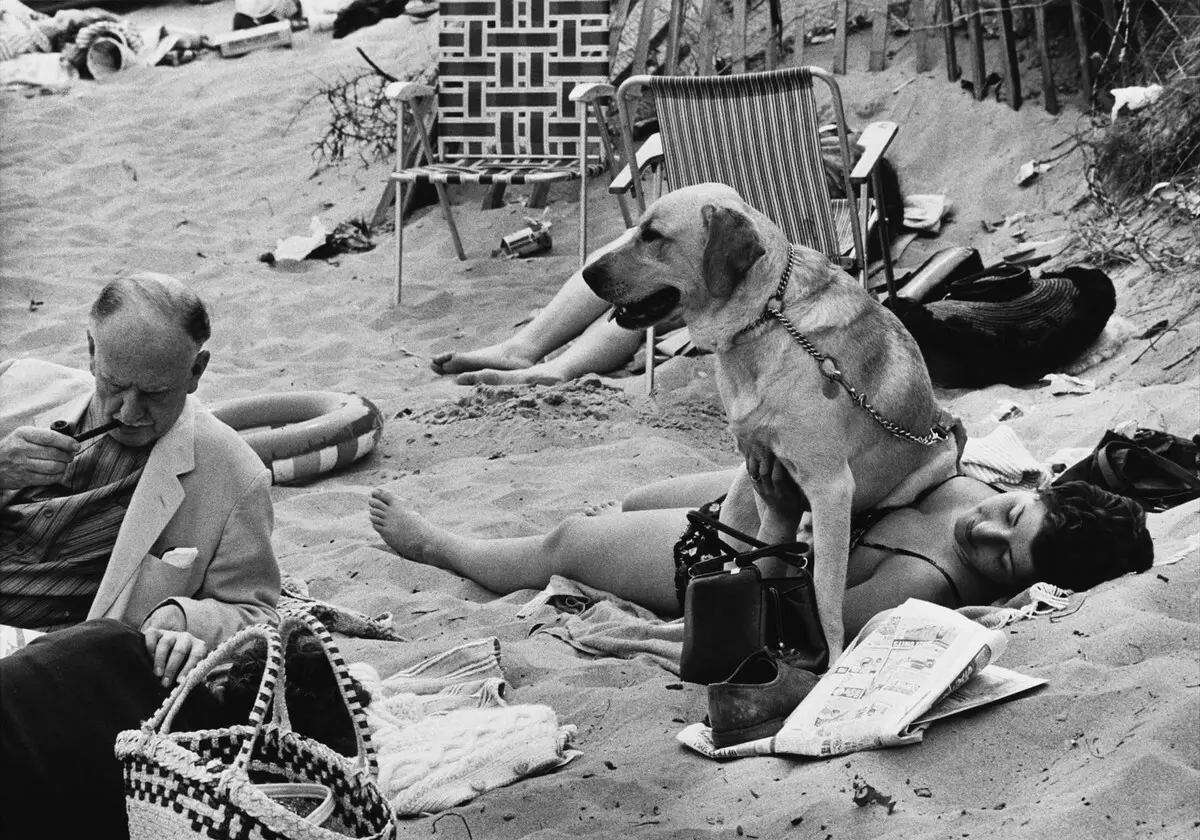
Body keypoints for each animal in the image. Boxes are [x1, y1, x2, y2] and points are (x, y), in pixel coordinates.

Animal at [580, 182, 955, 662]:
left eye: (652, 235)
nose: (586, 274)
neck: (766, 317)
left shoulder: (830, 487)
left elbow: (824, 591)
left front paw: (831, 658)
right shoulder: (761, 473)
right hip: (740, 493)